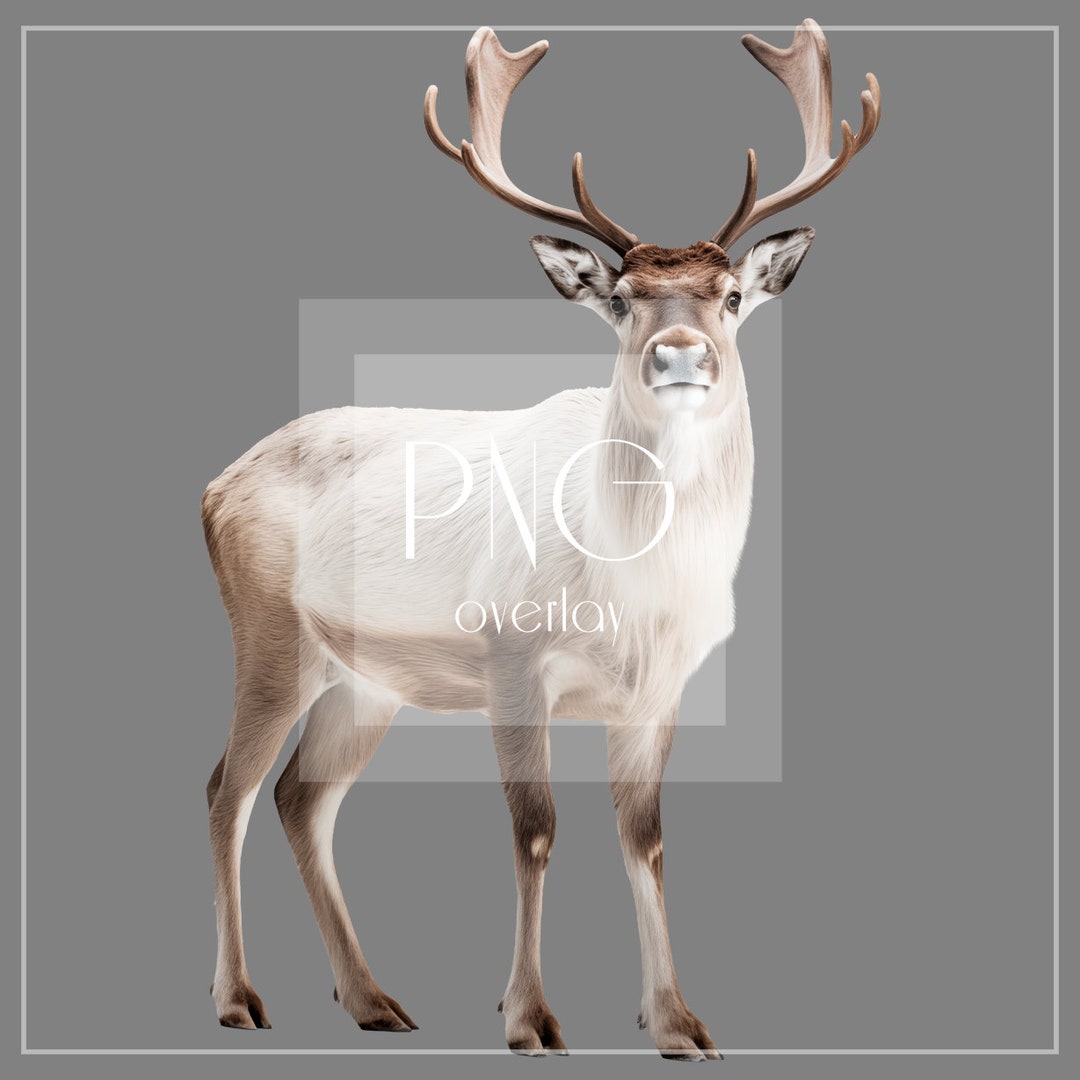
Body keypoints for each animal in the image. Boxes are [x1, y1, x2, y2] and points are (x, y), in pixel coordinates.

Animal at [201, 20, 880, 1059]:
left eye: (729, 294)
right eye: (624, 297)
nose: (678, 354)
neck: (631, 592)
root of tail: (212, 485)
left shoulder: (661, 688)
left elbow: (645, 836)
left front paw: (678, 1022)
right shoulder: (511, 655)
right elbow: (534, 828)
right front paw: (529, 1018)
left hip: (362, 677)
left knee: (299, 798)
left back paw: (374, 999)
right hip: (270, 634)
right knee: (227, 789)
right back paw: (238, 999)